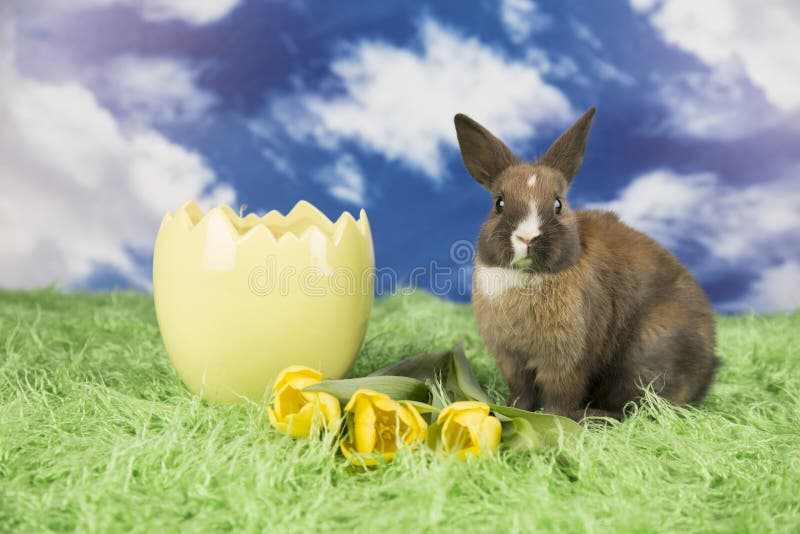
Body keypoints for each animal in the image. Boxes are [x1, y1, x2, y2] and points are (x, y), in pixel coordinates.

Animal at [454, 107, 720, 421]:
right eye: (499, 203)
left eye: (558, 204)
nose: (527, 237)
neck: (527, 276)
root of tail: (709, 369)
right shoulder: (512, 360)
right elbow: (522, 393)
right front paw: (512, 411)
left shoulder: (567, 361)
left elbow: (559, 397)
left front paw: (553, 420)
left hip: (644, 359)